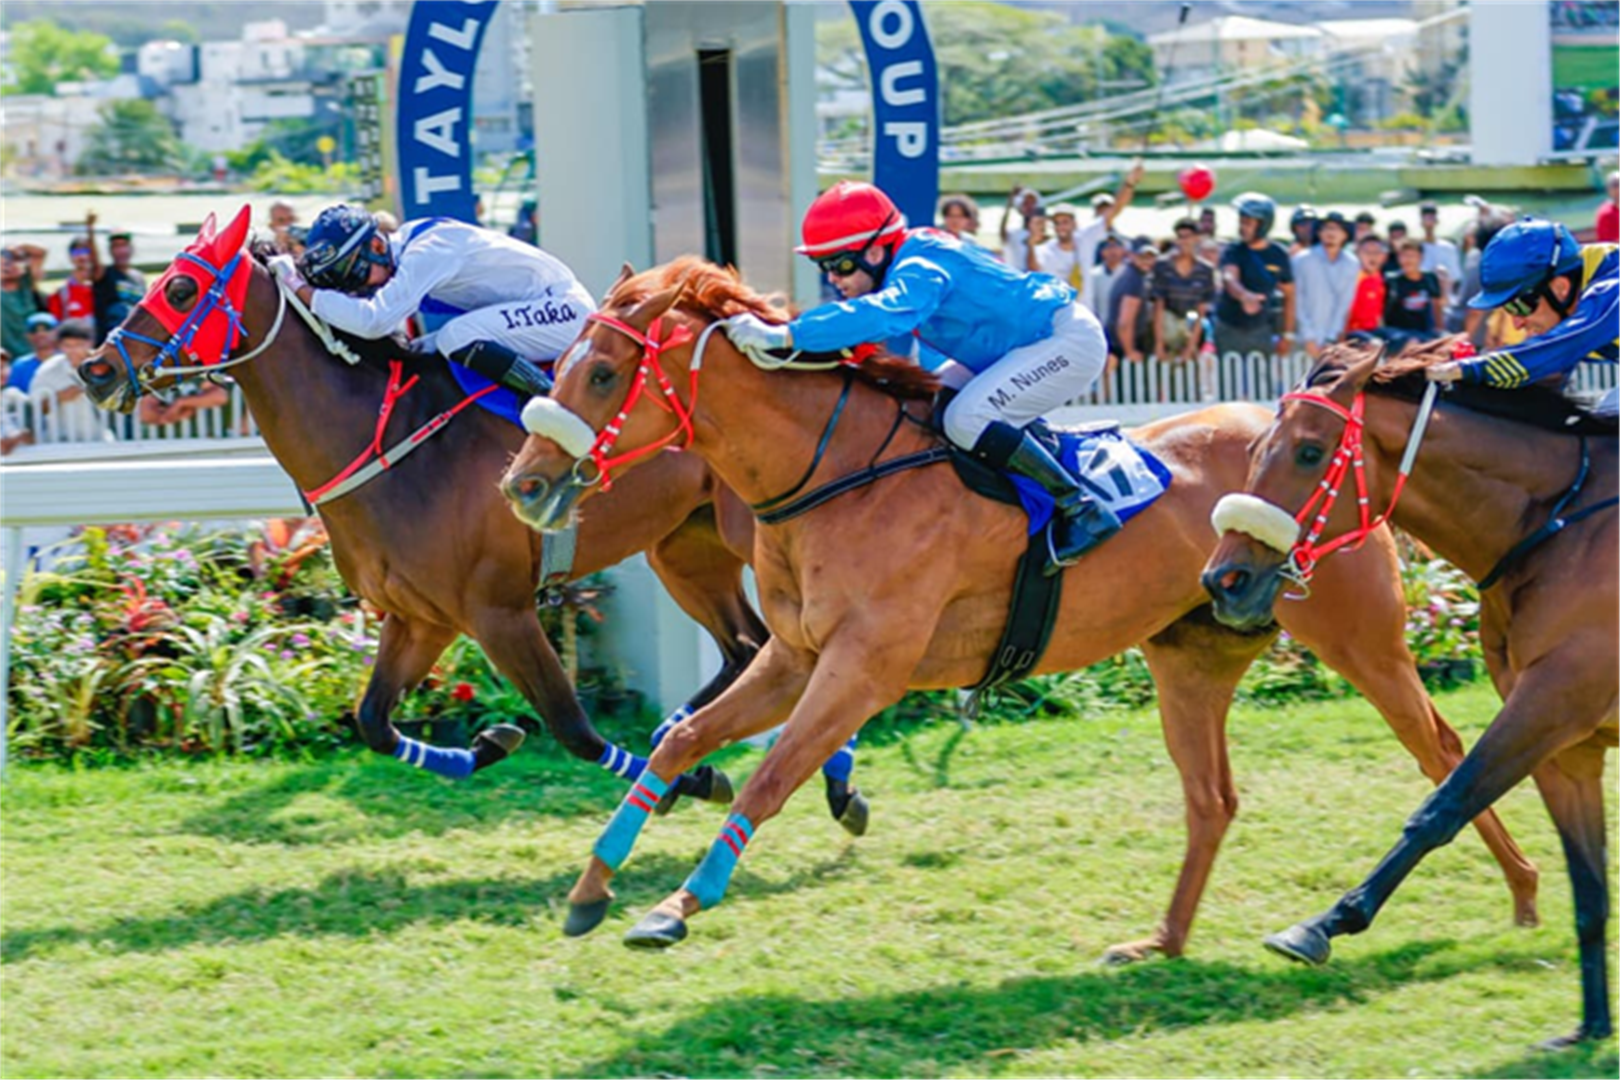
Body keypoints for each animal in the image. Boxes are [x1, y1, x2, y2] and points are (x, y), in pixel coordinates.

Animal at [75, 205, 765, 806]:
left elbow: (576, 729)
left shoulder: (501, 612)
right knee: (747, 646)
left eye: (181, 287)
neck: (390, 443)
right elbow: (373, 721)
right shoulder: (418, 617)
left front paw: (689, 781)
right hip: (684, 550)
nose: (95, 368)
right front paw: (490, 742)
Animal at [496, 256, 1539, 954]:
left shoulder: (864, 668)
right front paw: (590, 890)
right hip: (1192, 655)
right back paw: (1160, 941)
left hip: (1362, 638)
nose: (525, 485)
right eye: (561, 361)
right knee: (1212, 797)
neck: (833, 476)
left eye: (601, 372)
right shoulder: (794, 658)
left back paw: (1524, 896)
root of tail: (1341, 447)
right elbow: (678, 745)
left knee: (1444, 750)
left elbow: (770, 777)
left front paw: (674, 907)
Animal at [1203, 338, 1618, 1049]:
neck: (1561, 525)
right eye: (1256, 448)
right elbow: (1588, 882)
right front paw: (1590, 1027)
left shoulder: (1553, 701)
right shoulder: (1569, 740)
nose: (1224, 580)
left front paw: (1321, 926)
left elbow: (1441, 806)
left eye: (1308, 450)